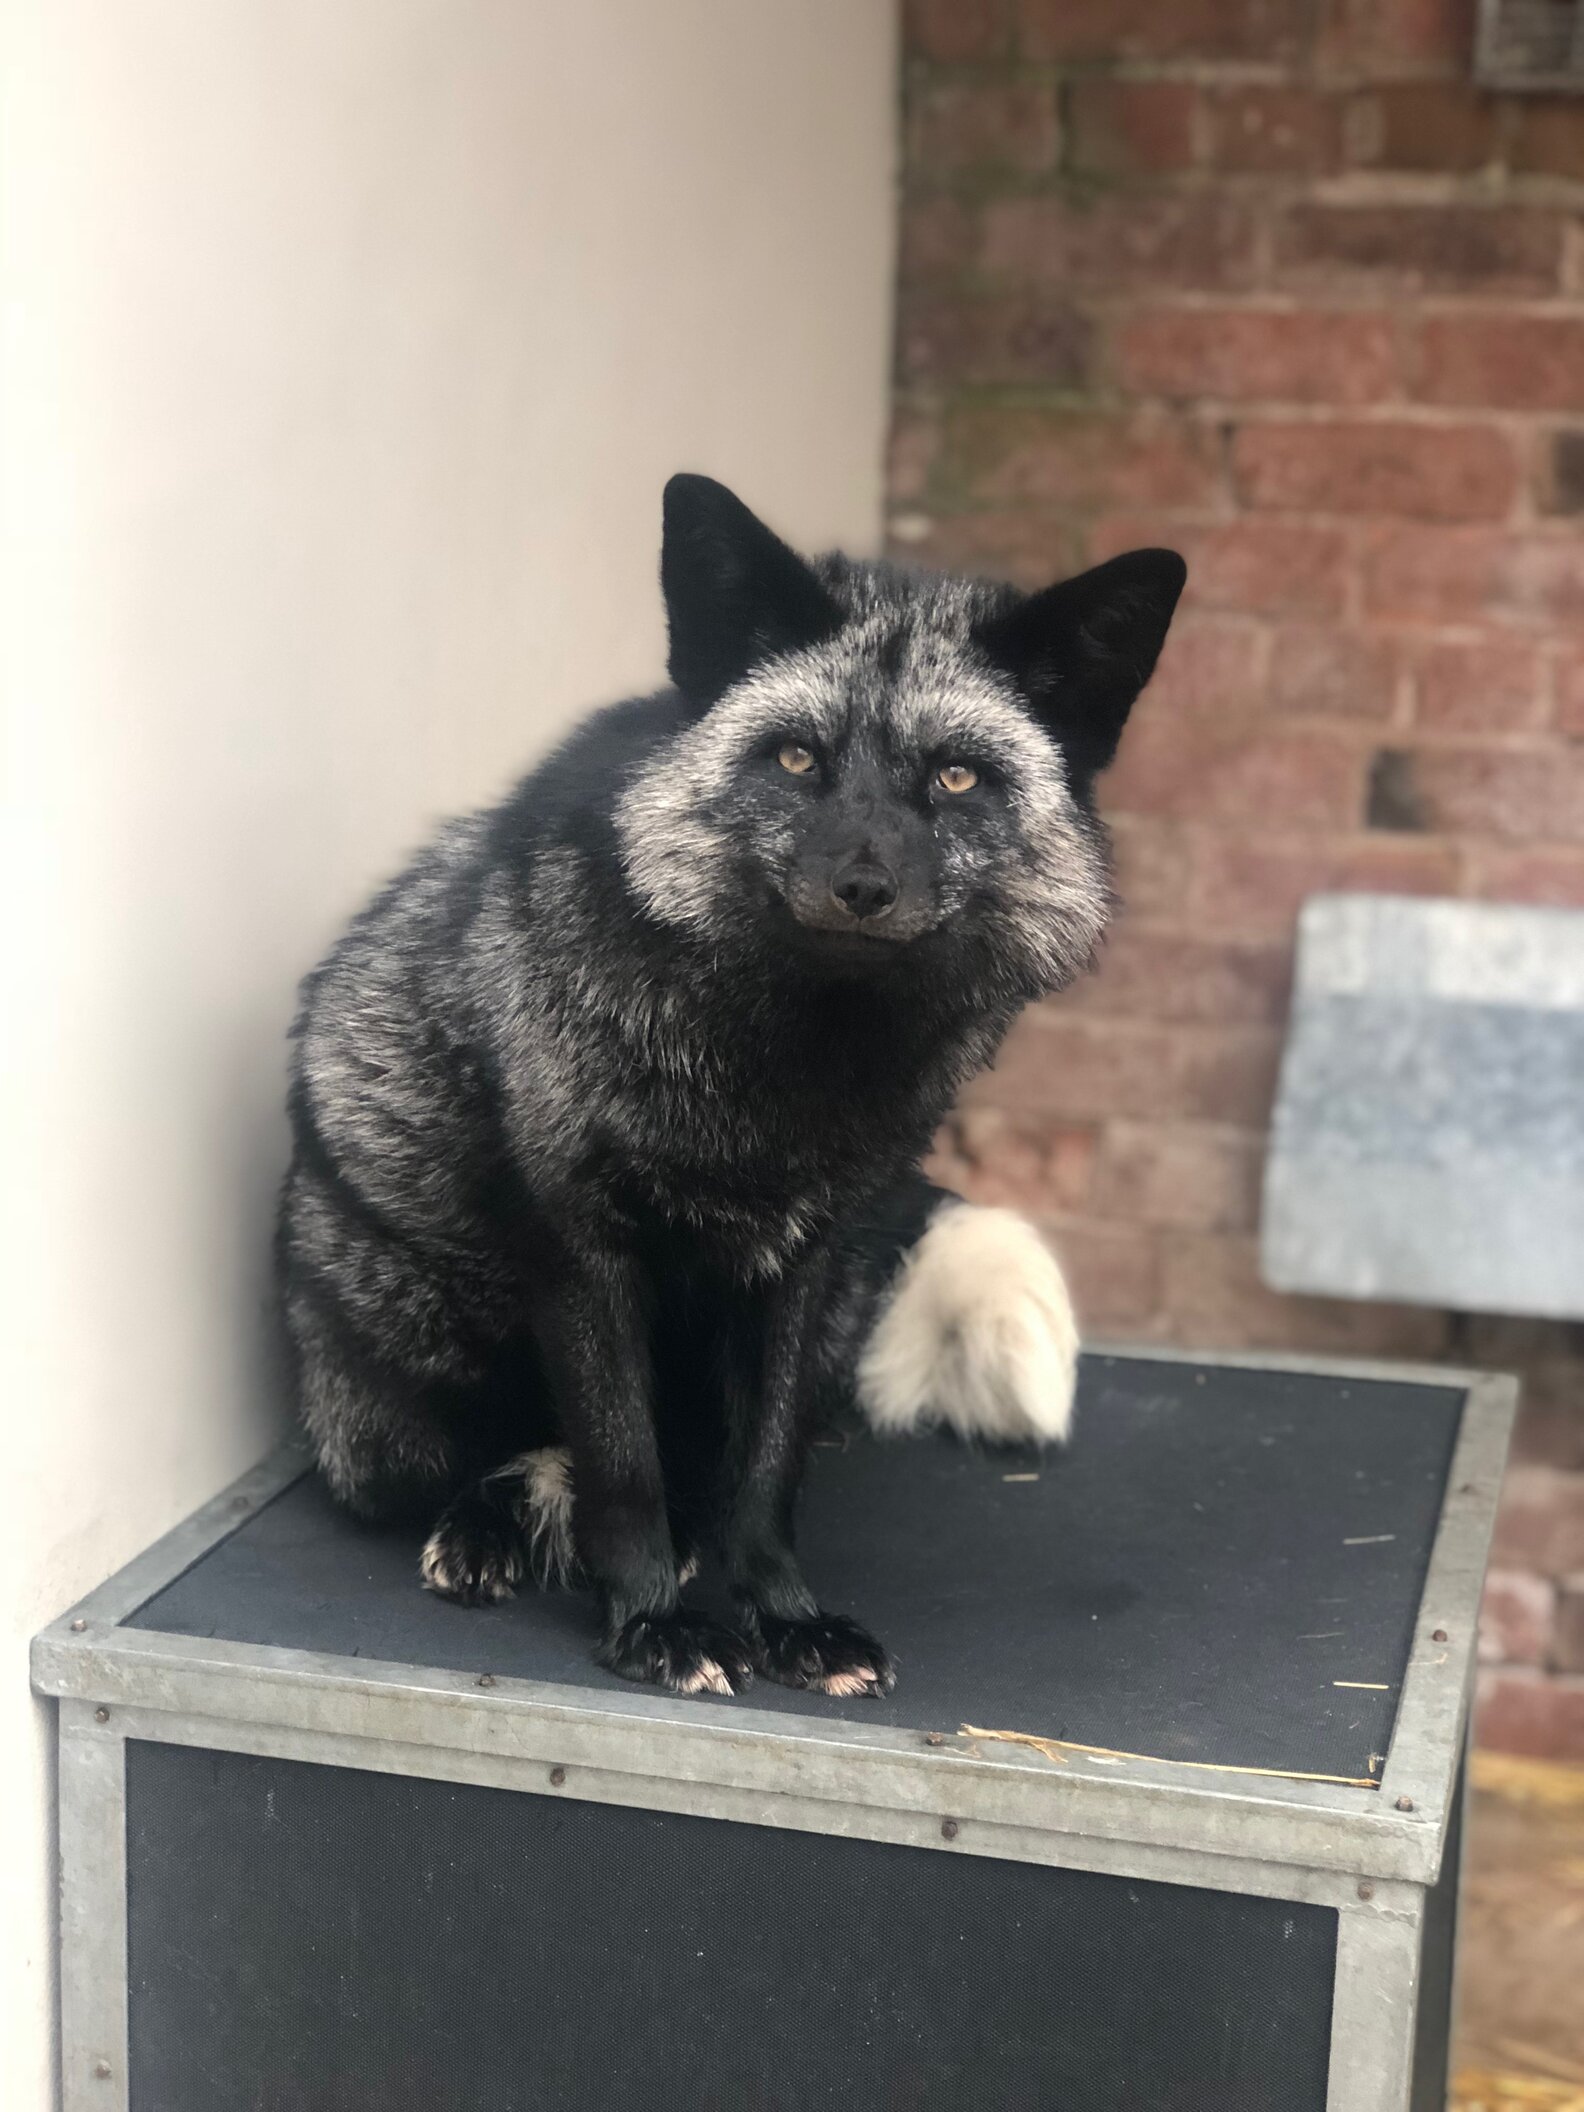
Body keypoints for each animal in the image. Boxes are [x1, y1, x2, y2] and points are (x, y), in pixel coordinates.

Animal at [276, 474, 1184, 1699]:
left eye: (955, 777)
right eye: (796, 760)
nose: (863, 888)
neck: (783, 1076)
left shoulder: (812, 1257)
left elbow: (767, 1470)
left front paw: (784, 1616)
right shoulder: (582, 1250)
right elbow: (620, 1467)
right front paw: (654, 1620)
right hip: (404, 1358)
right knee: (516, 1455)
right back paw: (489, 1525)